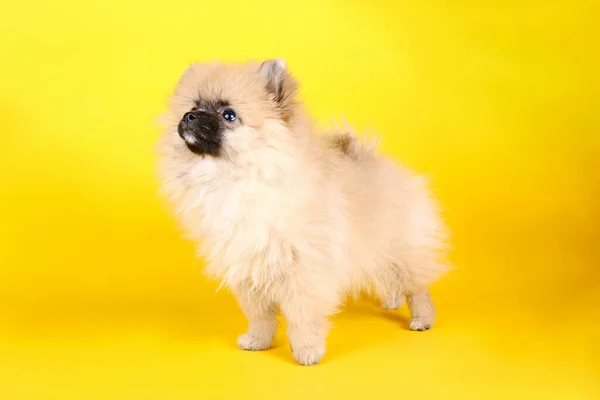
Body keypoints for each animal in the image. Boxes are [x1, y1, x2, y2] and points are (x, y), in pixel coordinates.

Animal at [157, 58, 448, 366]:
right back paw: (392, 301)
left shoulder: (304, 268)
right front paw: (258, 340)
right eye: (194, 105)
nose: (189, 116)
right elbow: (259, 314)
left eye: (229, 115)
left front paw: (308, 350)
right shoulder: (248, 265)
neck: (241, 176)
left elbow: (302, 315)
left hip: (400, 250)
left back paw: (422, 319)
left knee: (417, 286)